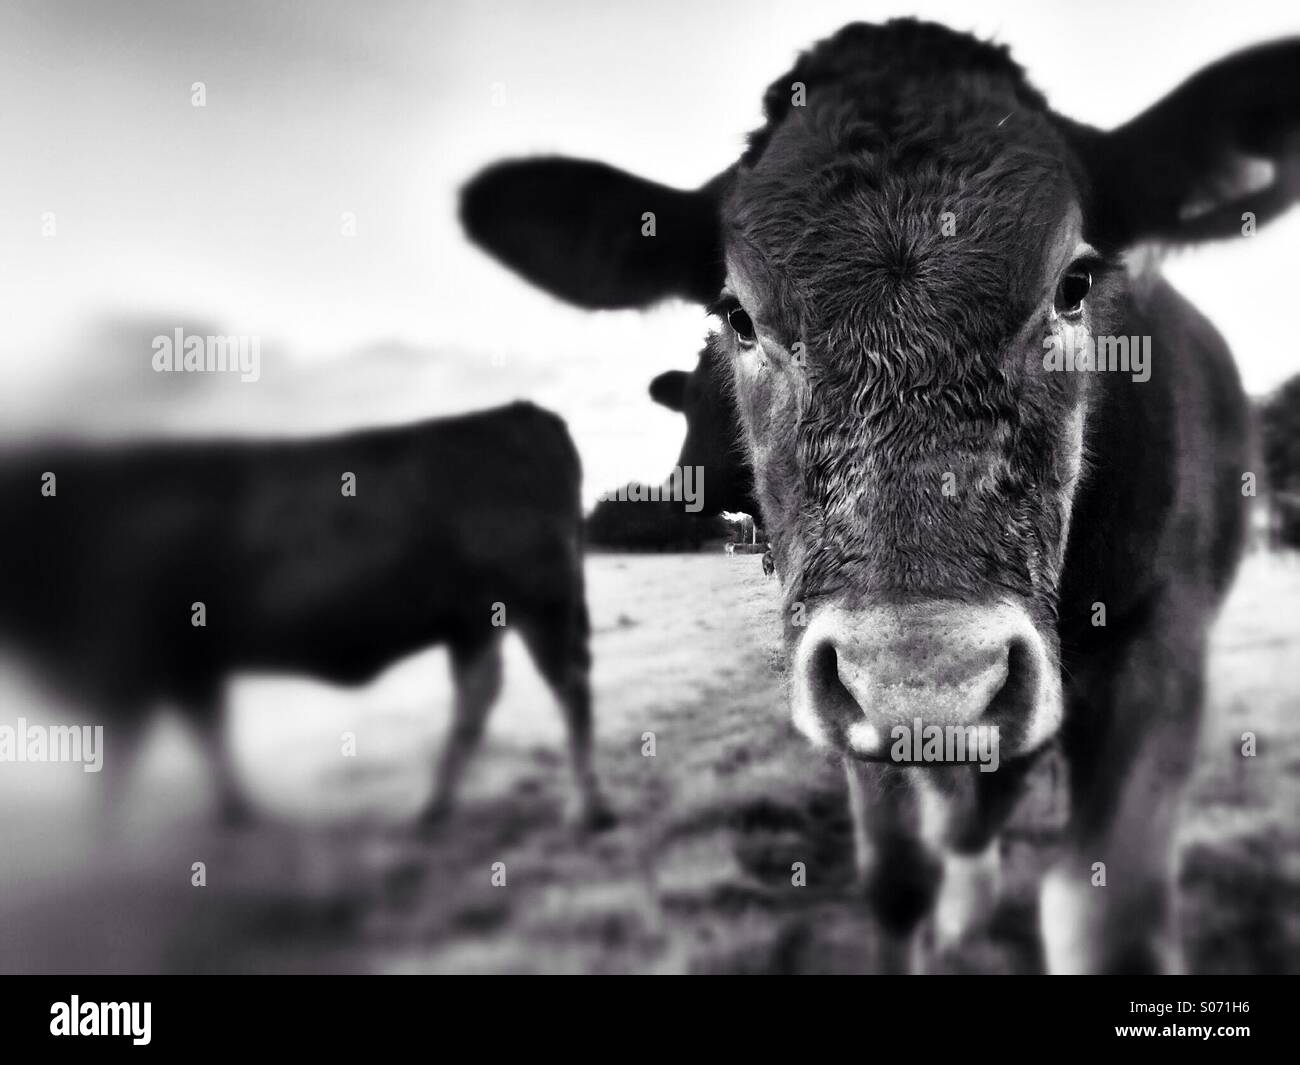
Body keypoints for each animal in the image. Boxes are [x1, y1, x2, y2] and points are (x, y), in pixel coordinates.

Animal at [0, 402, 614, 831]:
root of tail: (521, 414)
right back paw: (432, 807)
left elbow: (119, 757)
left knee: (569, 688)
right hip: (473, 622)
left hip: (542, 606)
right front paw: (236, 812)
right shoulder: (187, 659)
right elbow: (207, 729)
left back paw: (585, 810)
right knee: (478, 698)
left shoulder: (128, 656)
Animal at [460, 20, 1299, 971]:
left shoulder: (1162, 643)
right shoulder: (838, 673)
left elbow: (1107, 913)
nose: (926, 678)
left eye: (1074, 285)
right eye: (738, 315)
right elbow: (898, 879)